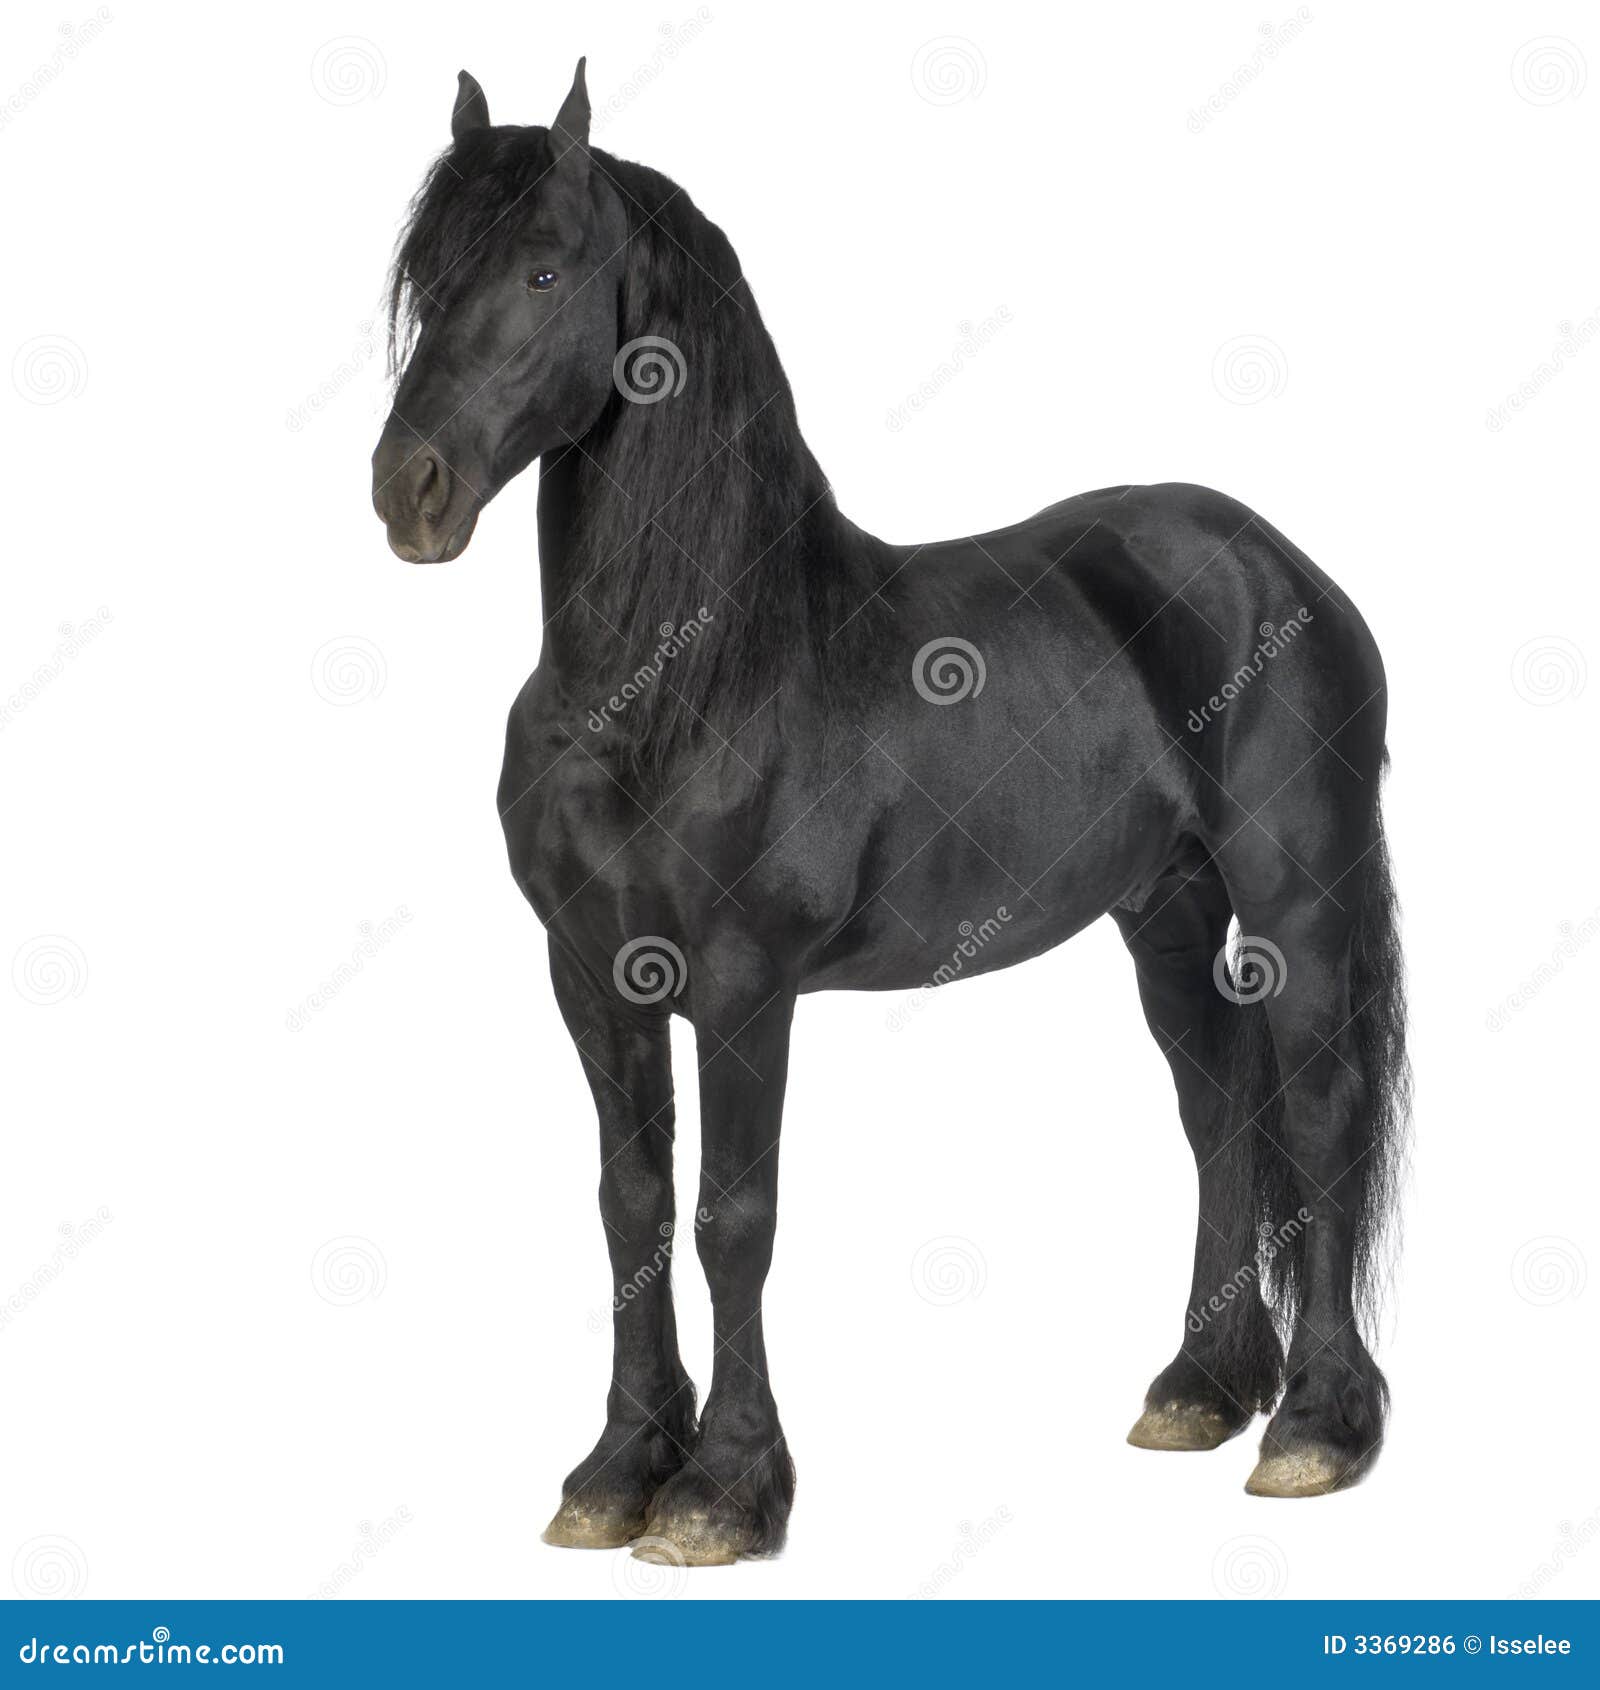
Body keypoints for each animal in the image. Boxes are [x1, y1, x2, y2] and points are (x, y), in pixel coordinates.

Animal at [370, 60, 1409, 1566]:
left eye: (545, 269)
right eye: (423, 279)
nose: (410, 491)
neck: (683, 678)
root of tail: (1280, 568)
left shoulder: (744, 983)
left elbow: (733, 1217)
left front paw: (722, 1491)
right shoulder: (591, 976)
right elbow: (632, 1209)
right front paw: (617, 1470)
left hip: (1296, 899)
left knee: (1321, 1114)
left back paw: (1316, 1429)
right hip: (1165, 912)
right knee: (1220, 1111)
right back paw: (1196, 1394)